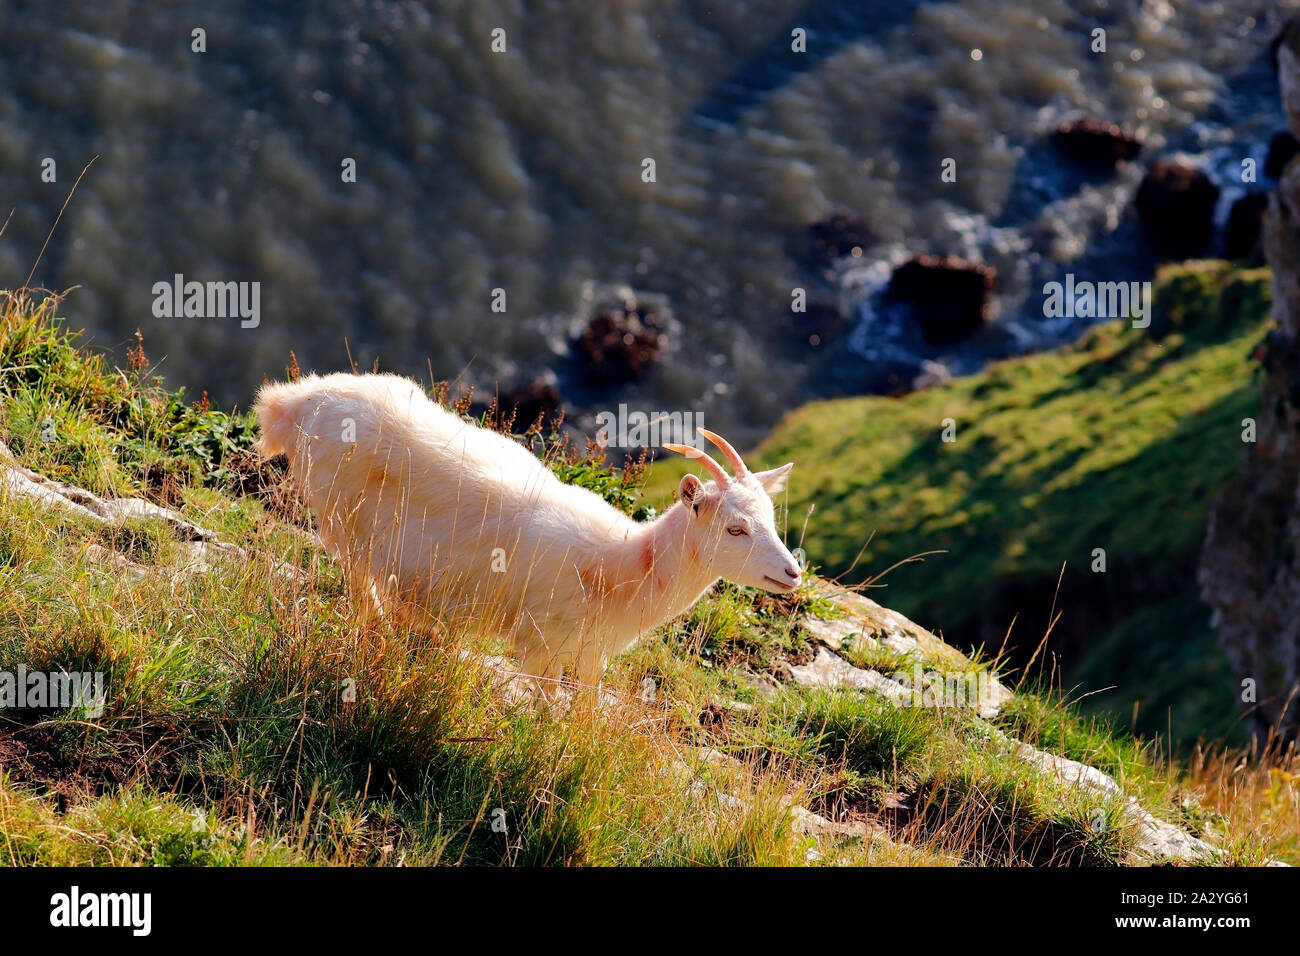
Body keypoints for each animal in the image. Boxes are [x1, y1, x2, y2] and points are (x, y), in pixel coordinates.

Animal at [253, 372, 801, 684]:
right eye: (734, 529)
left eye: (771, 520)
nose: (793, 574)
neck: (627, 563)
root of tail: (296, 399)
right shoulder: (540, 647)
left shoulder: (590, 655)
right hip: (343, 525)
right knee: (362, 595)